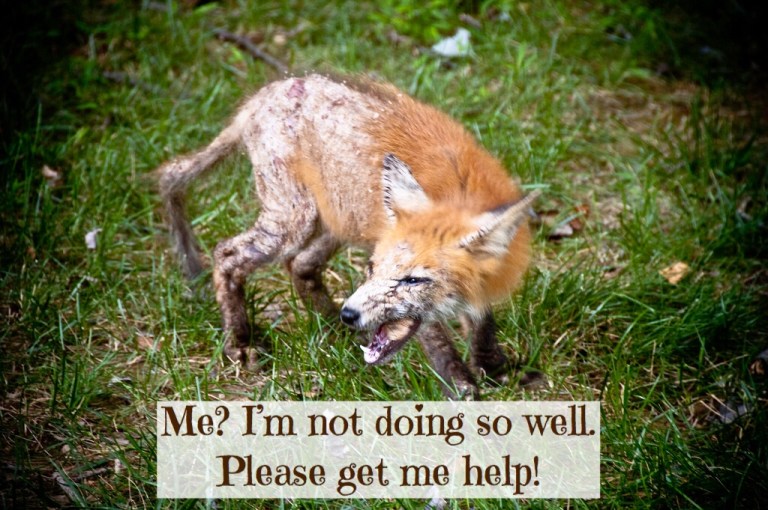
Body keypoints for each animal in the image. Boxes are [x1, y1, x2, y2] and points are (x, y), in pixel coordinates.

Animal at [156, 74, 539, 400]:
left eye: (414, 280)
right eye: (371, 270)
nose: (350, 314)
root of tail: (265, 94)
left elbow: (483, 324)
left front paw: (495, 369)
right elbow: (439, 344)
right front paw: (462, 388)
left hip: (336, 222)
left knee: (299, 265)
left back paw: (331, 329)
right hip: (294, 221)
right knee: (227, 254)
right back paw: (241, 342)